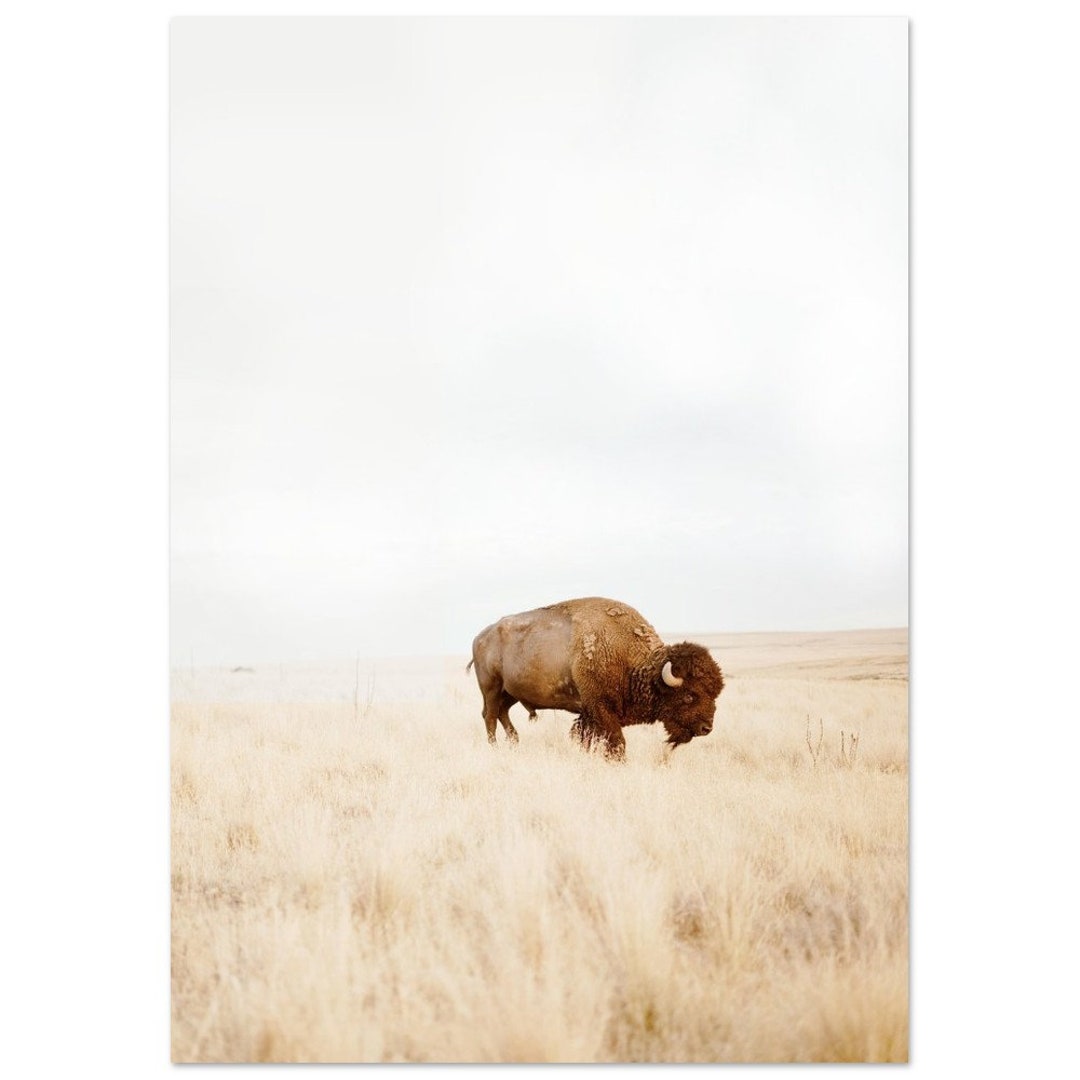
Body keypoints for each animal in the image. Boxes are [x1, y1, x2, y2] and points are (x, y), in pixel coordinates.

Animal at [467, 597, 724, 760]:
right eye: (689, 695)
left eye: (715, 694)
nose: (706, 728)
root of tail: (480, 637)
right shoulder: (600, 709)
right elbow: (616, 742)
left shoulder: (589, 714)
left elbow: (586, 738)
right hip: (491, 688)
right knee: (490, 716)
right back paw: (495, 748)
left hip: (510, 693)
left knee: (502, 713)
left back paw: (514, 742)